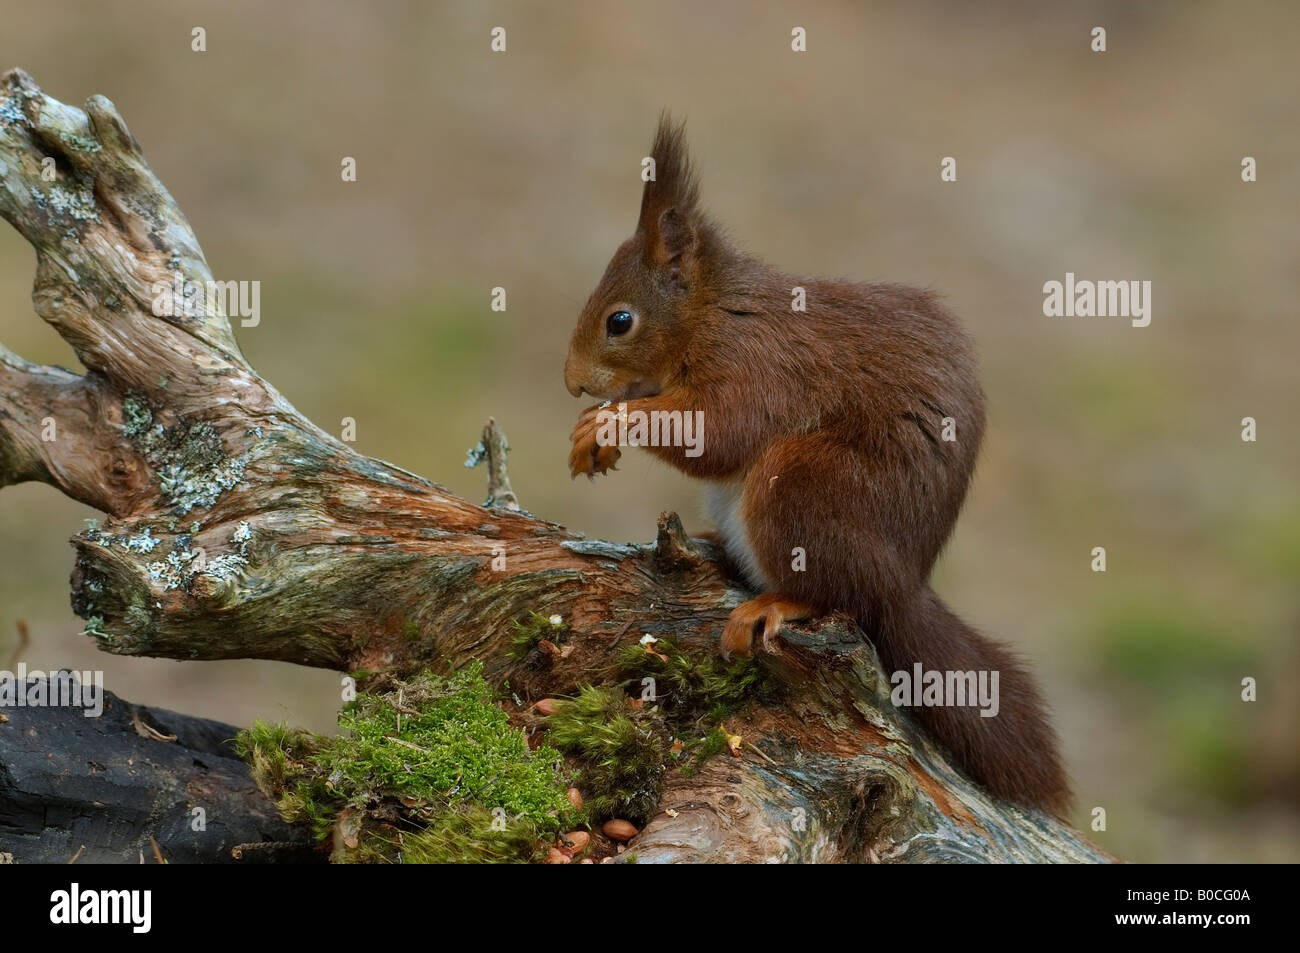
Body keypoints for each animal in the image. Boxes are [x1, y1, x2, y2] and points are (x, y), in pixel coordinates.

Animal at [563, 115, 1070, 816]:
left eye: (620, 321)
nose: (572, 382)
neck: (713, 312)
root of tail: (903, 584)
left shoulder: (759, 364)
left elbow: (720, 433)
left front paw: (608, 423)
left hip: (803, 483)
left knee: (838, 593)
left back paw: (777, 603)